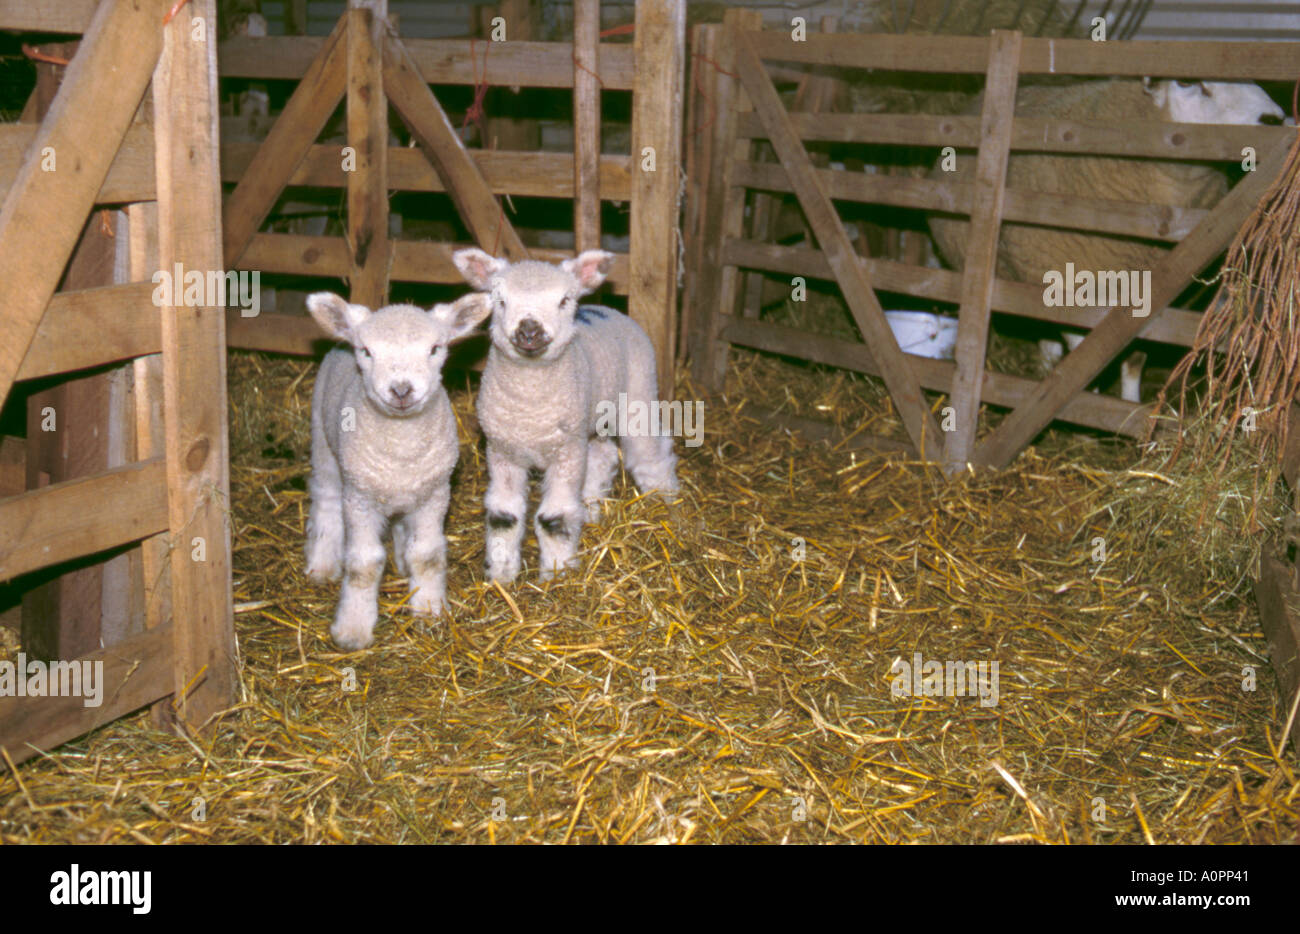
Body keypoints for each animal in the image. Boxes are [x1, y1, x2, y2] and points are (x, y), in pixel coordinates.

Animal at [304, 290, 491, 650]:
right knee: (326, 501)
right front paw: (353, 629)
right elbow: (364, 564)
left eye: (435, 349)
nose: (401, 390)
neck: (401, 450)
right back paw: (321, 564)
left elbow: (427, 555)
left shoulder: (435, 494)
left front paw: (430, 609)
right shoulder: (359, 499)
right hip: (323, 444)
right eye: (366, 351)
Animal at [451, 248, 679, 583]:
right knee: (603, 456)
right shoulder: (502, 451)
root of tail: (605, 309)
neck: (530, 409)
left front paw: (557, 576)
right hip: (591, 418)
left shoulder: (566, 453)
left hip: (639, 392)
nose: (529, 330)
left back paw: (666, 502)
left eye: (564, 300)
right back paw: (593, 509)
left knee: (649, 453)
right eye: (500, 300)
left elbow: (554, 518)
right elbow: (504, 515)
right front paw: (501, 576)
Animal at [928, 78, 1287, 402]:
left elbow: (1135, 360)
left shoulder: (1152, 306)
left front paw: (1129, 407)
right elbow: (1085, 358)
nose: (1276, 119)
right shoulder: (1072, 289)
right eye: (1189, 83)